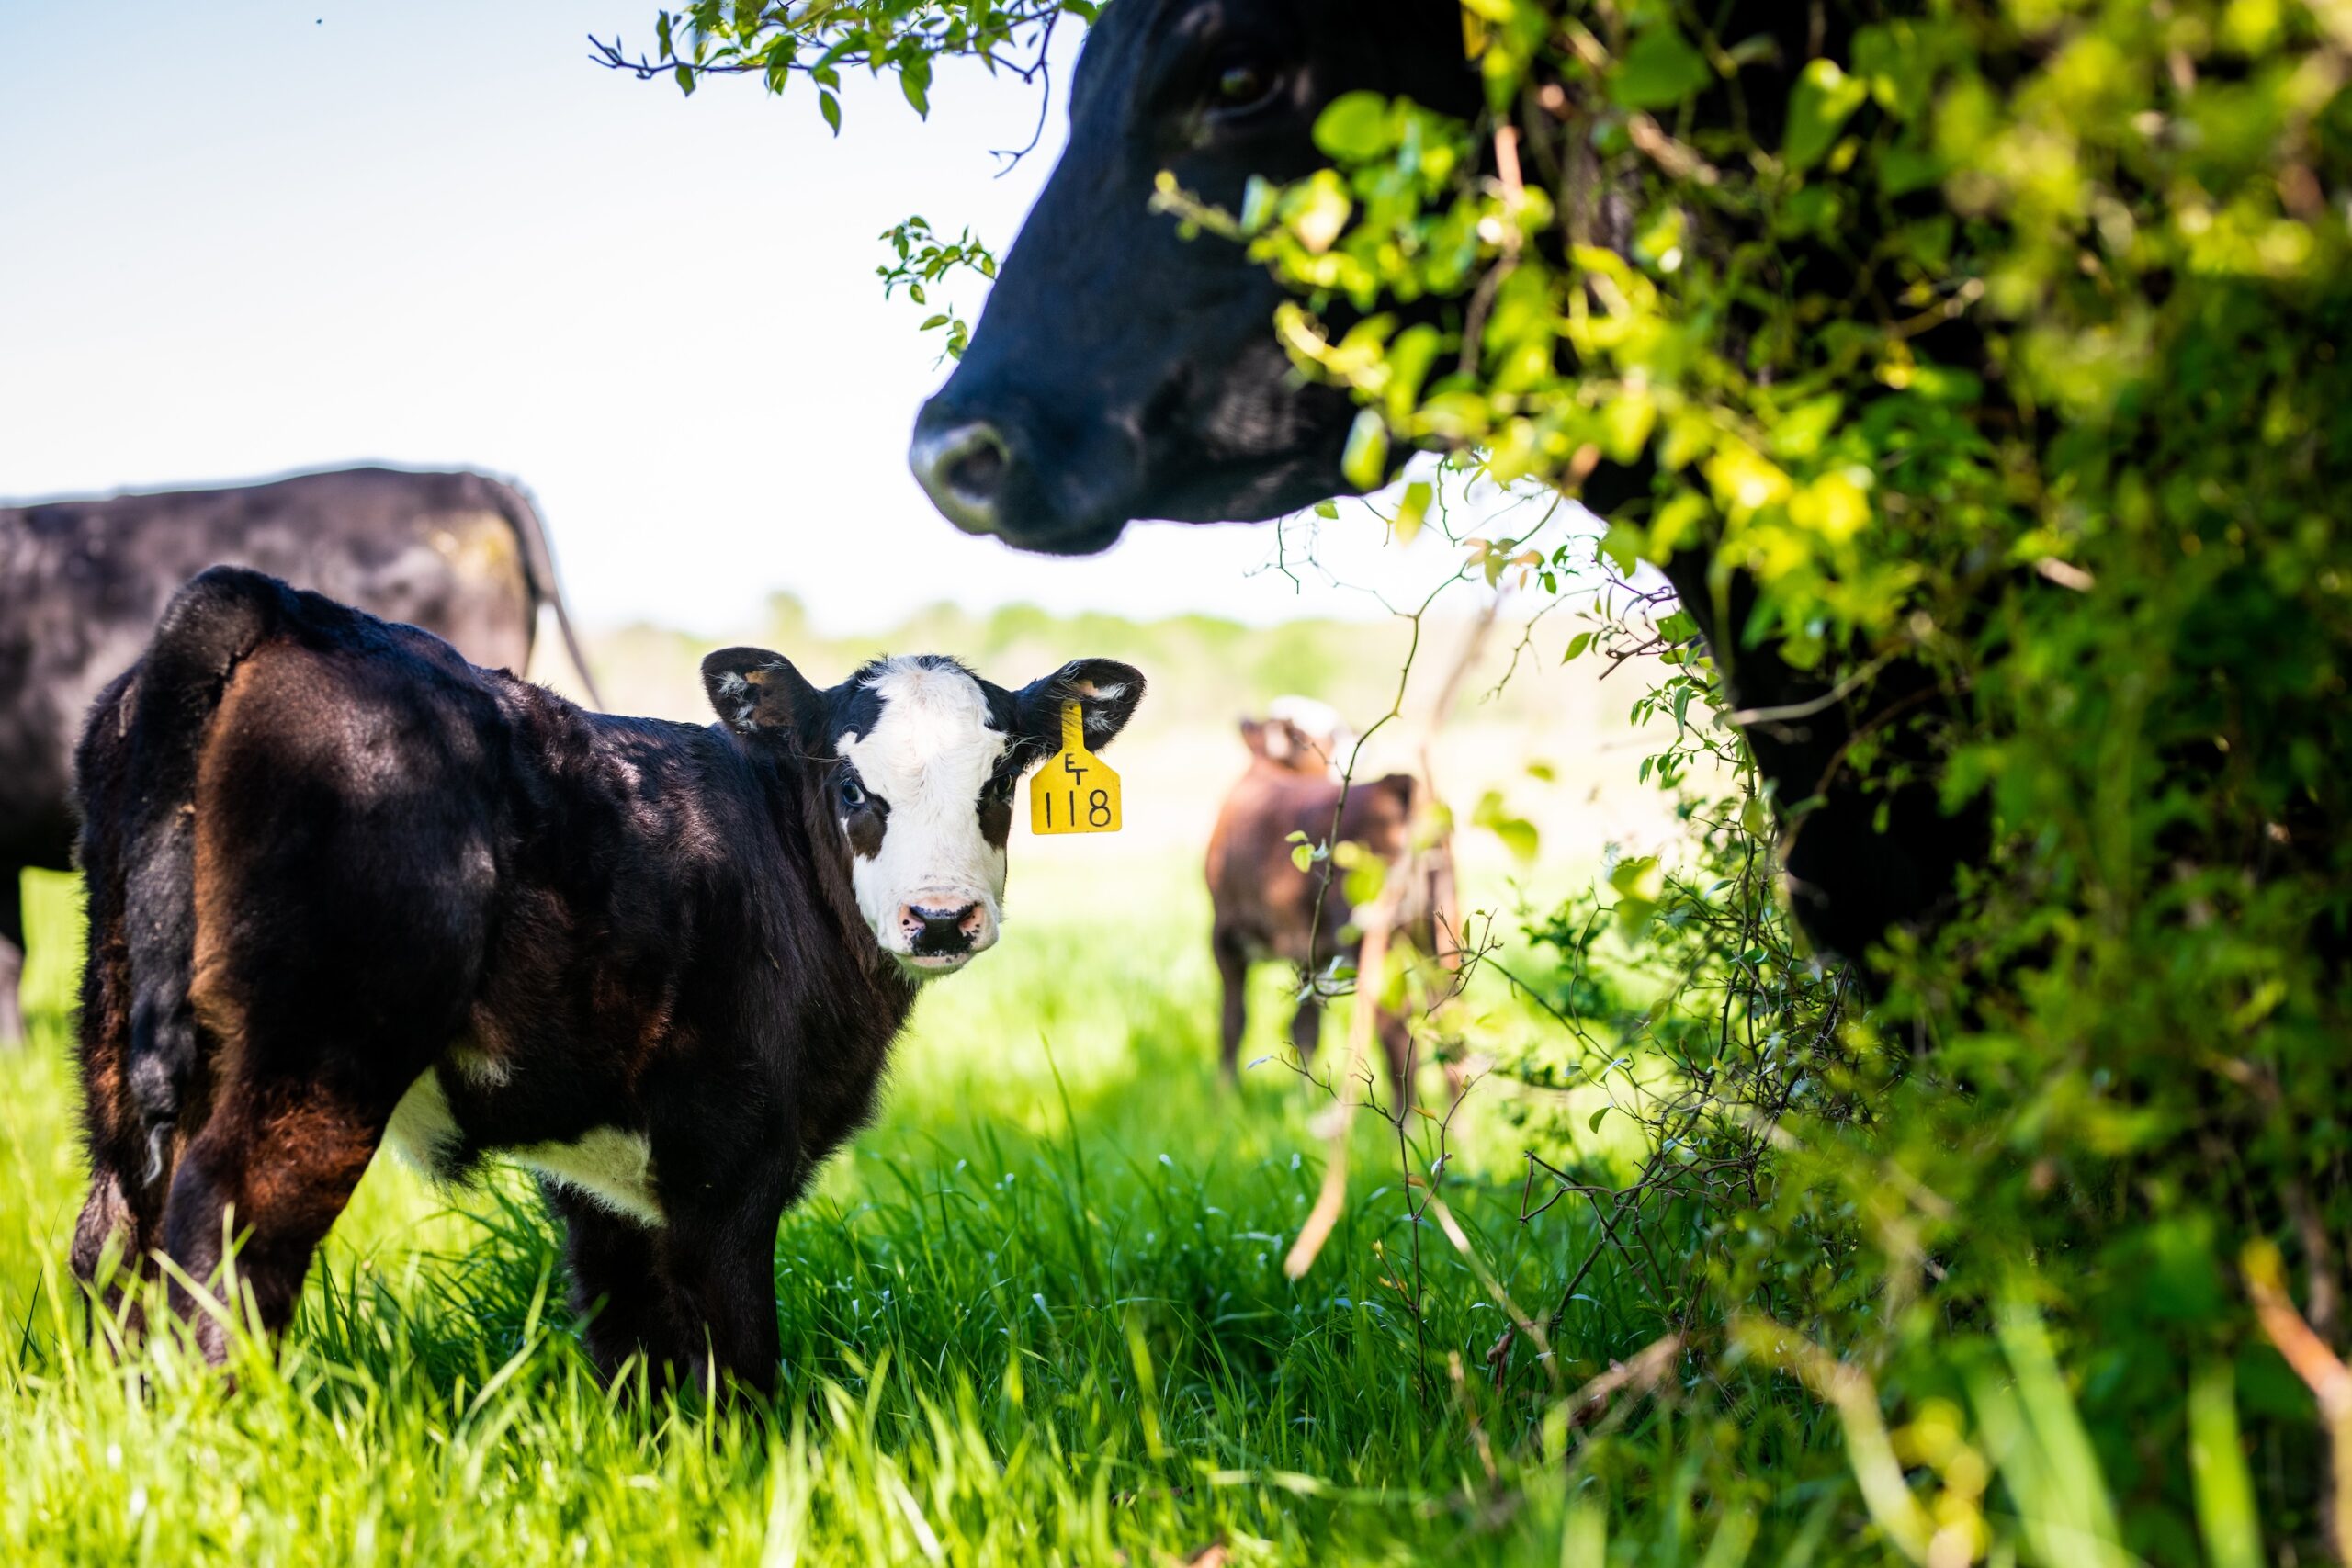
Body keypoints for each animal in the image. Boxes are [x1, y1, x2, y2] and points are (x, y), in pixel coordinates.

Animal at [66, 566, 1143, 1394]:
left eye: (1000, 782)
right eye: (850, 786)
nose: (941, 918)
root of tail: (285, 604)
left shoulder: (614, 1180)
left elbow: (637, 1350)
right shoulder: (729, 1154)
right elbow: (735, 1354)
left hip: (122, 1037)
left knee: (114, 1236)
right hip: (325, 1049)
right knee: (223, 1234)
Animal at [1207, 713, 1458, 1104]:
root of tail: (1392, 784)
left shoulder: (1224, 934)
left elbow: (1232, 1020)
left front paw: (1225, 1098)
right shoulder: (1306, 951)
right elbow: (1305, 1028)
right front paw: (1304, 1101)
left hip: (1372, 938)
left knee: (1398, 1032)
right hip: (1440, 927)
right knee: (1451, 1015)